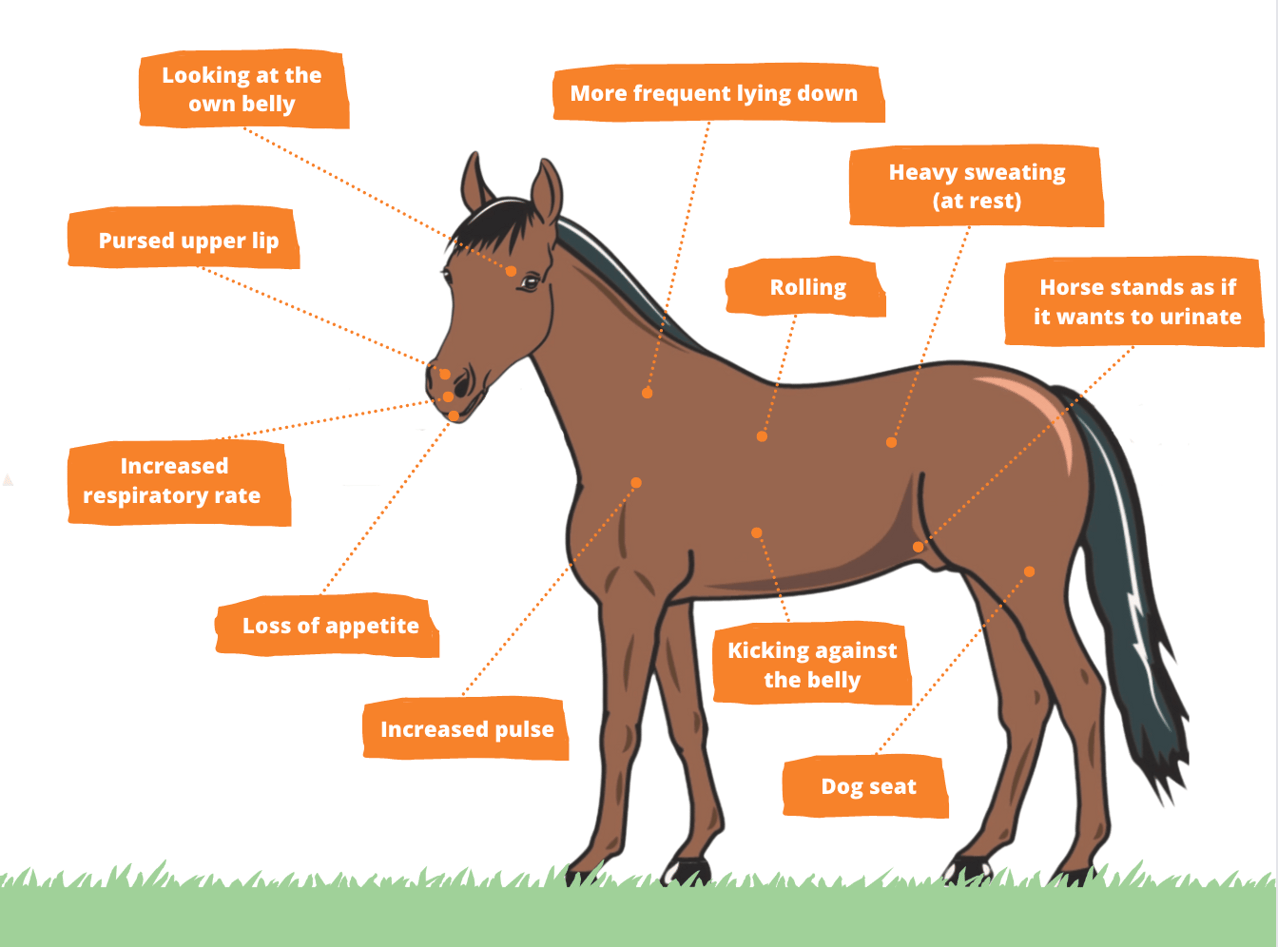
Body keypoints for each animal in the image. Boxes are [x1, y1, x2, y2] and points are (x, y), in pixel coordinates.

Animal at [426, 152, 1189, 887]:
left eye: (529, 281)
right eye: (451, 274)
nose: (447, 387)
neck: (645, 425)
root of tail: (1055, 402)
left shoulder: (630, 602)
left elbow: (621, 727)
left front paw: (592, 859)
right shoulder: (670, 604)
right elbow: (686, 721)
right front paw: (693, 854)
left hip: (1026, 584)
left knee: (1081, 692)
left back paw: (1077, 860)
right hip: (989, 584)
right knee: (1028, 701)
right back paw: (977, 854)